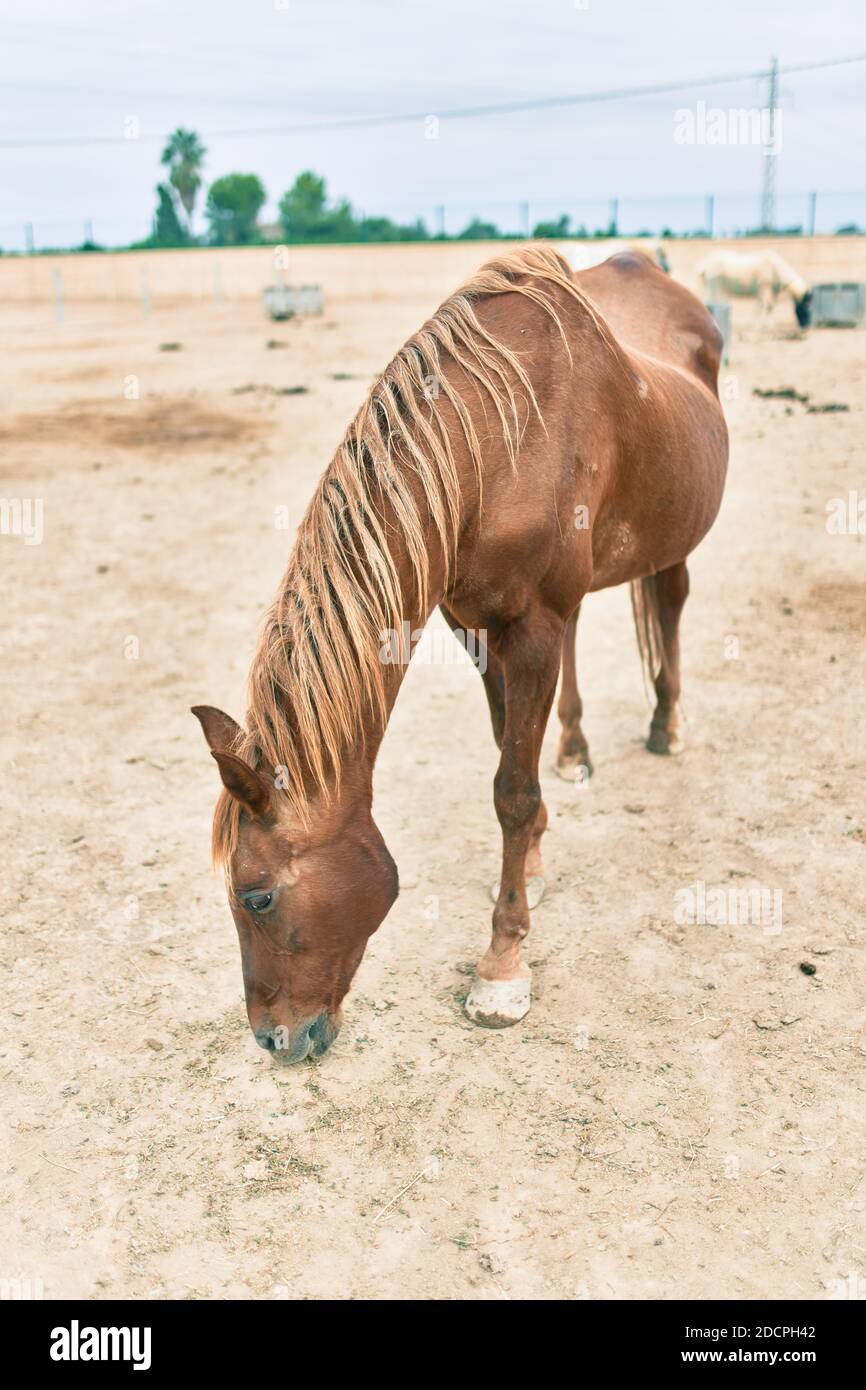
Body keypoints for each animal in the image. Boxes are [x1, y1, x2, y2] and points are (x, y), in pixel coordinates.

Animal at [192, 244, 729, 1063]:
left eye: (256, 896)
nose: (272, 1040)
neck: (494, 445)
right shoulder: (477, 629)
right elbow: (509, 756)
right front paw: (533, 858)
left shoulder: (530, 627)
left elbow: (512, 791)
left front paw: (502, 966)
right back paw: (574, 750)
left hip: (673, 542)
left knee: (668, 605)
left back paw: (667, 725)